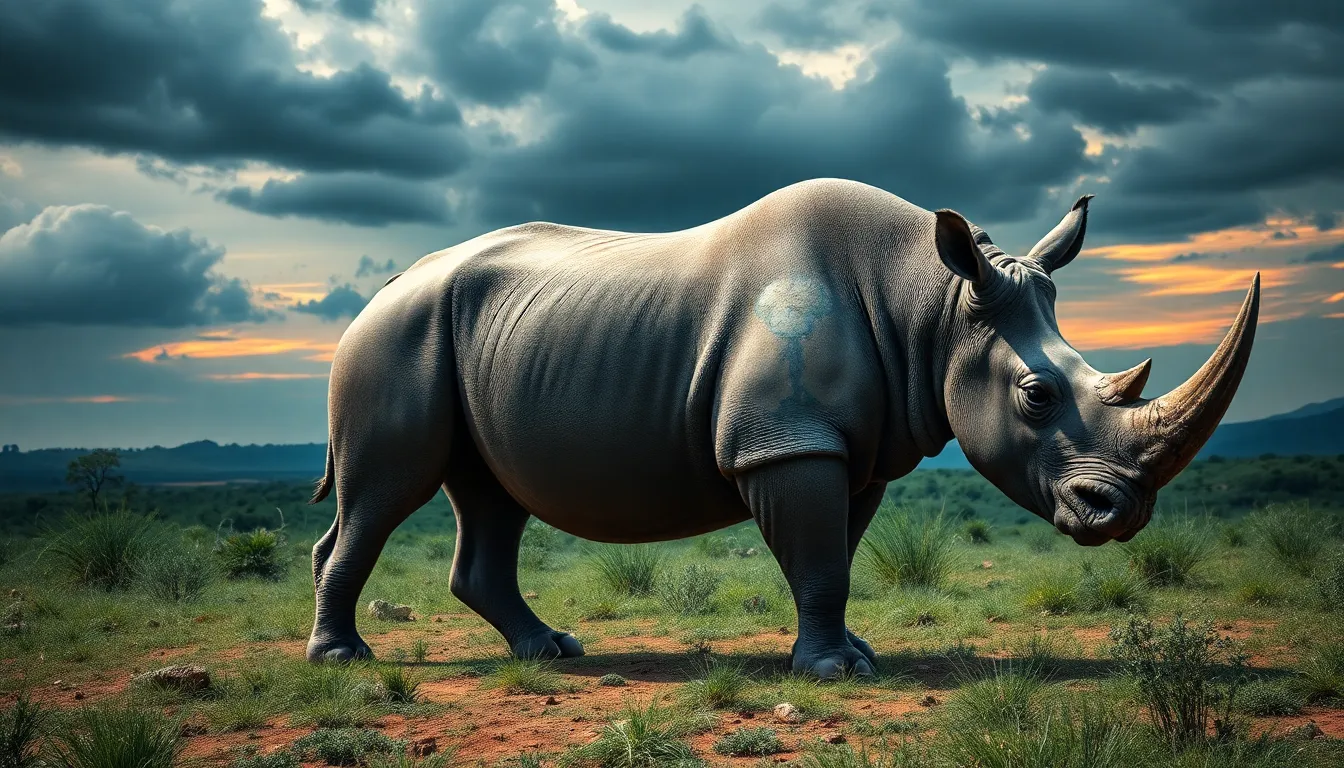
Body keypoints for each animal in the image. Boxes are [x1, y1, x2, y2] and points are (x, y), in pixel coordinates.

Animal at [306, 179, 1258, 677]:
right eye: (1036, 398)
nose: (1123, 513)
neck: (935, 303)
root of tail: (385, 289)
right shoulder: (788, 440)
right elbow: (819, 558)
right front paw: (834, 672)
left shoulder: (853, 448)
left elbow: (835, 554)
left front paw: (854, 655)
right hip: (396, 338)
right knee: (386, 494)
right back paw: (343, 659)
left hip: (467, 340)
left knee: (492, 498)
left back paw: (552, 653)